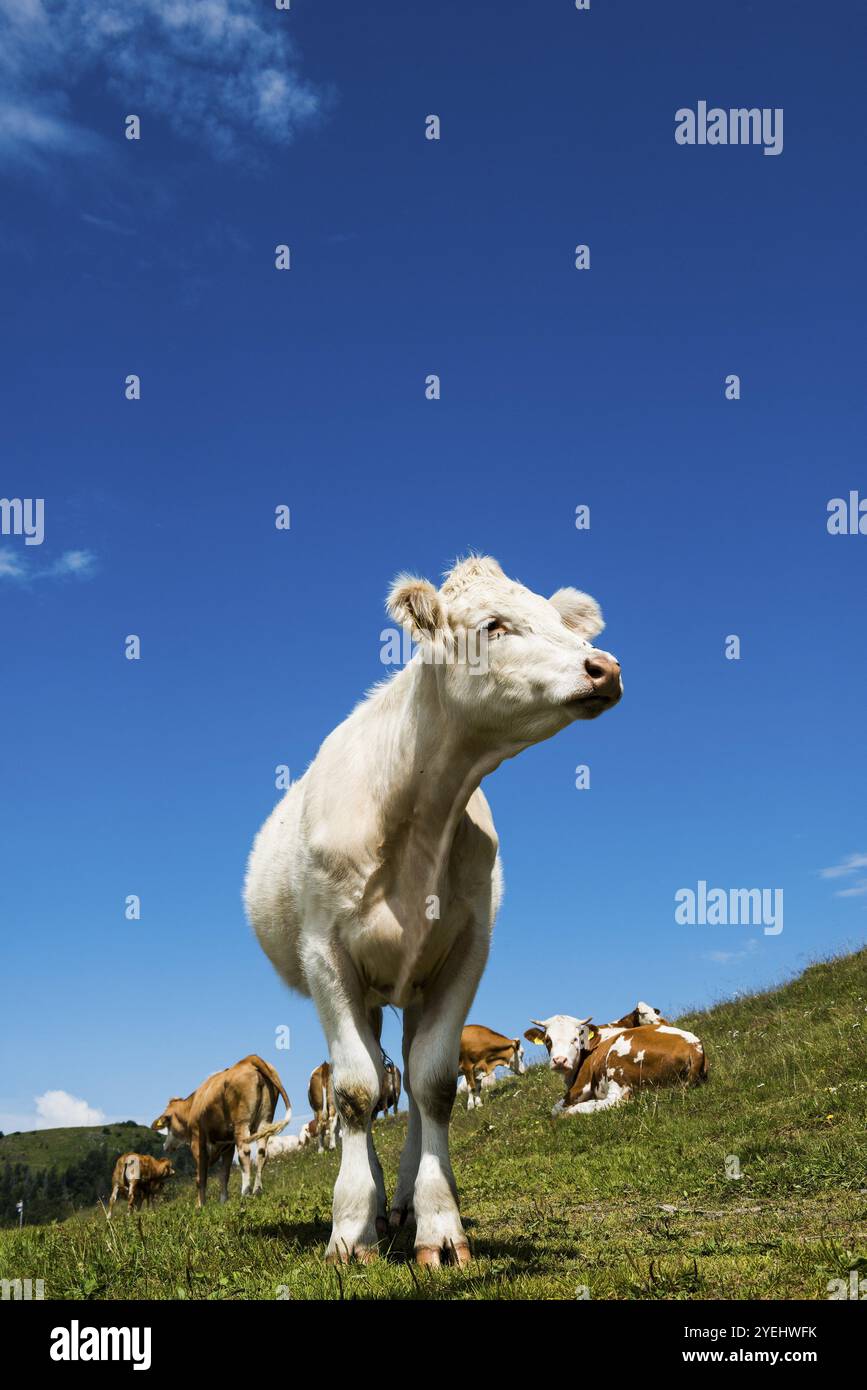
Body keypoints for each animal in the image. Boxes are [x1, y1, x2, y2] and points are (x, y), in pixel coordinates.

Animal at [151, 1055, 290, 1206]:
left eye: (168, 1125)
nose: (165, 1145)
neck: (193, 1105)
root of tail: (249, 1059)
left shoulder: (197, 1142)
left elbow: (200, 1178)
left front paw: (200, 1205)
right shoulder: (227, 1145)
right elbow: (223, 1175)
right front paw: (223, 1201)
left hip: (241, 1123)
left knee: (245, 1152)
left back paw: (245, 1193)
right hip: (265, 1120)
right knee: (262, 1153)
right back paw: (257, 1190)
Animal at [245, 555, 622, 1265]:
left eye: (563, 623)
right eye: (492, 625)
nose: (605, 667)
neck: (418, 812)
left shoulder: (466, 951)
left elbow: (436, 1085)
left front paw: (439, 1224)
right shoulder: (327, 956)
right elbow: (357, 1091)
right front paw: (350, 1229)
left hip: (415, 987)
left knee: (413, 1087)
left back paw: (402, 1205)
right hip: (364, 991)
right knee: (369, 1082)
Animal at [555, 1022, 707, 1115]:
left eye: (575, 1039)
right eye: (550, 1041)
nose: (559, 1060)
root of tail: (694, 1045)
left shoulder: (580, 1084)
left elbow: (555, 1109)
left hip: (616, 1065)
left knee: (615, 1102)